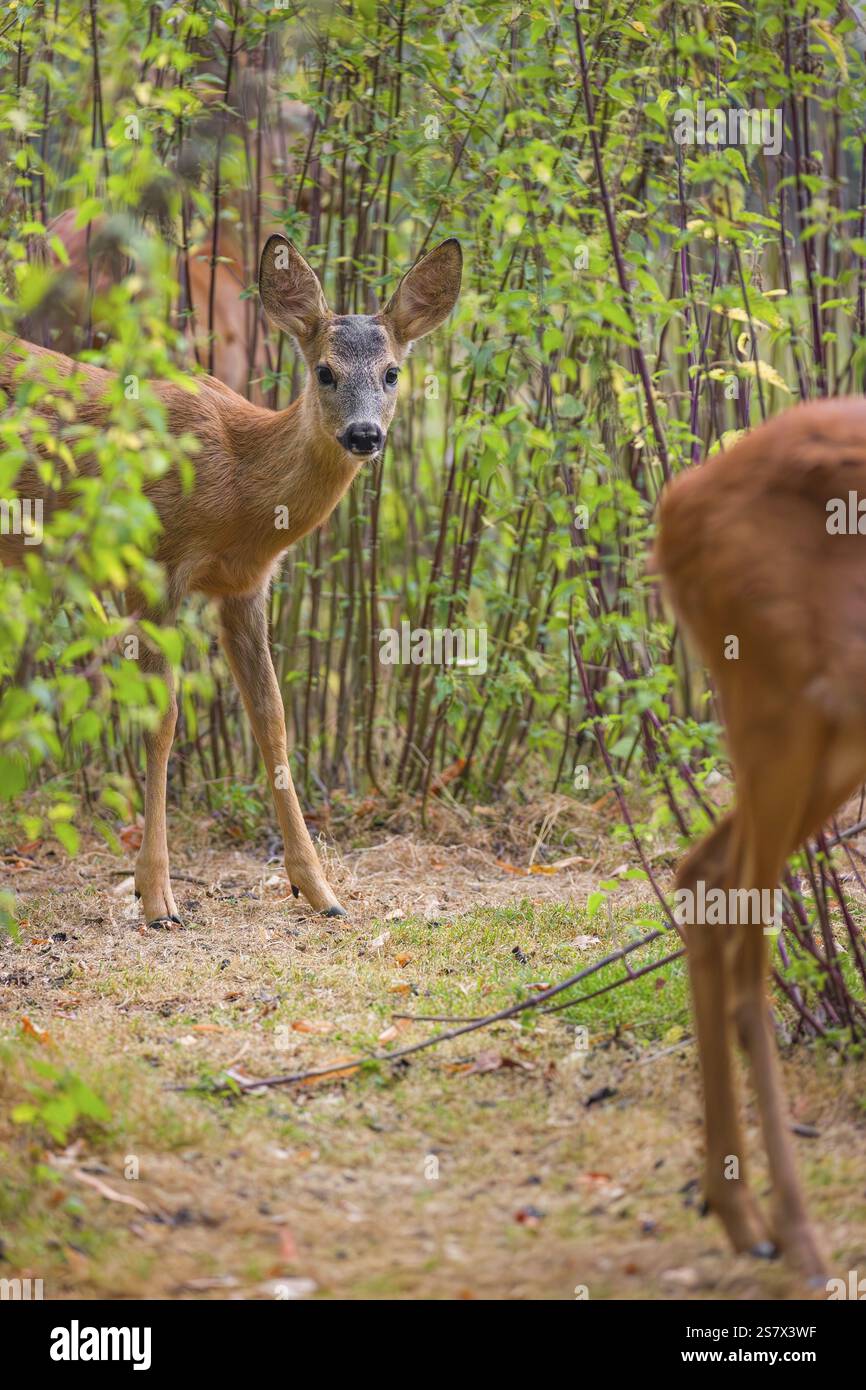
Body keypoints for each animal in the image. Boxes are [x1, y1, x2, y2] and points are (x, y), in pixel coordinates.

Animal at [0, 234, 462, 924]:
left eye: (392, 373)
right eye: (324, 371)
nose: (364, 434)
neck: (238, 485)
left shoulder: (246, 588)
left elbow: (272, 719)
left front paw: (319, 891)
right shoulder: (152, 567)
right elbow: (162, 717)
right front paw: (156, 896)